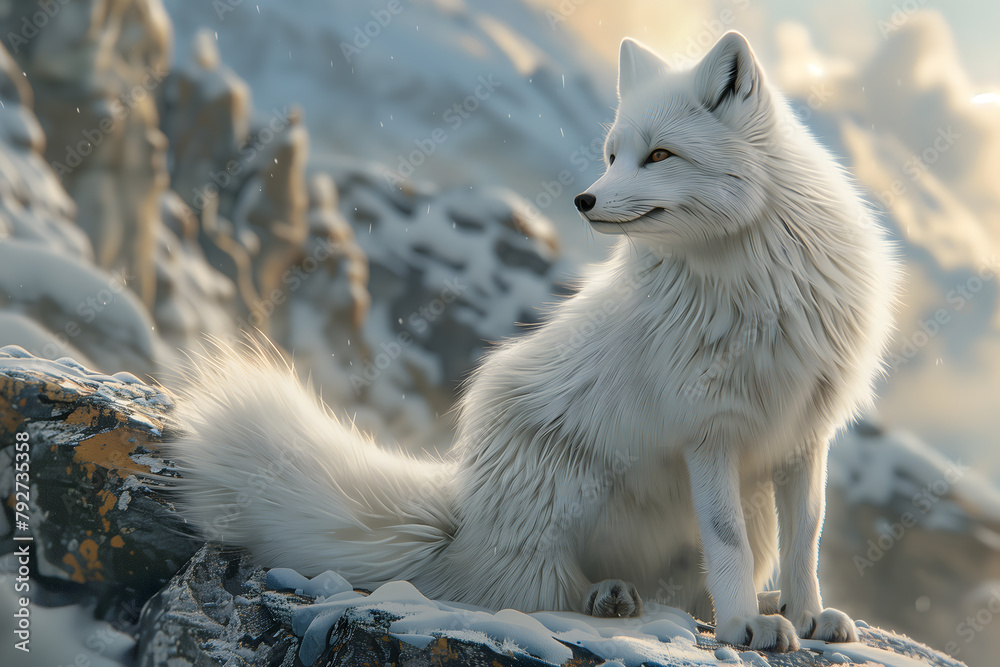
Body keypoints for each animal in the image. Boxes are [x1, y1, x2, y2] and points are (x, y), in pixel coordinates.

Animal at [166, 32, 896, 652]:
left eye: (660, 155)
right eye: (613, 154)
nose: (583, 200)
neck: (757, 283)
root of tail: (461, 519)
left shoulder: (806, 432)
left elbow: (809, 536)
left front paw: (804, 614)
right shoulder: (708, 430)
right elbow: (726, 544)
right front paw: (745, 627)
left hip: (740, 504)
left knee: (686, 592)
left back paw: (748, 601)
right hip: (569, 494)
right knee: (531, 590)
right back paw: (612, 597)